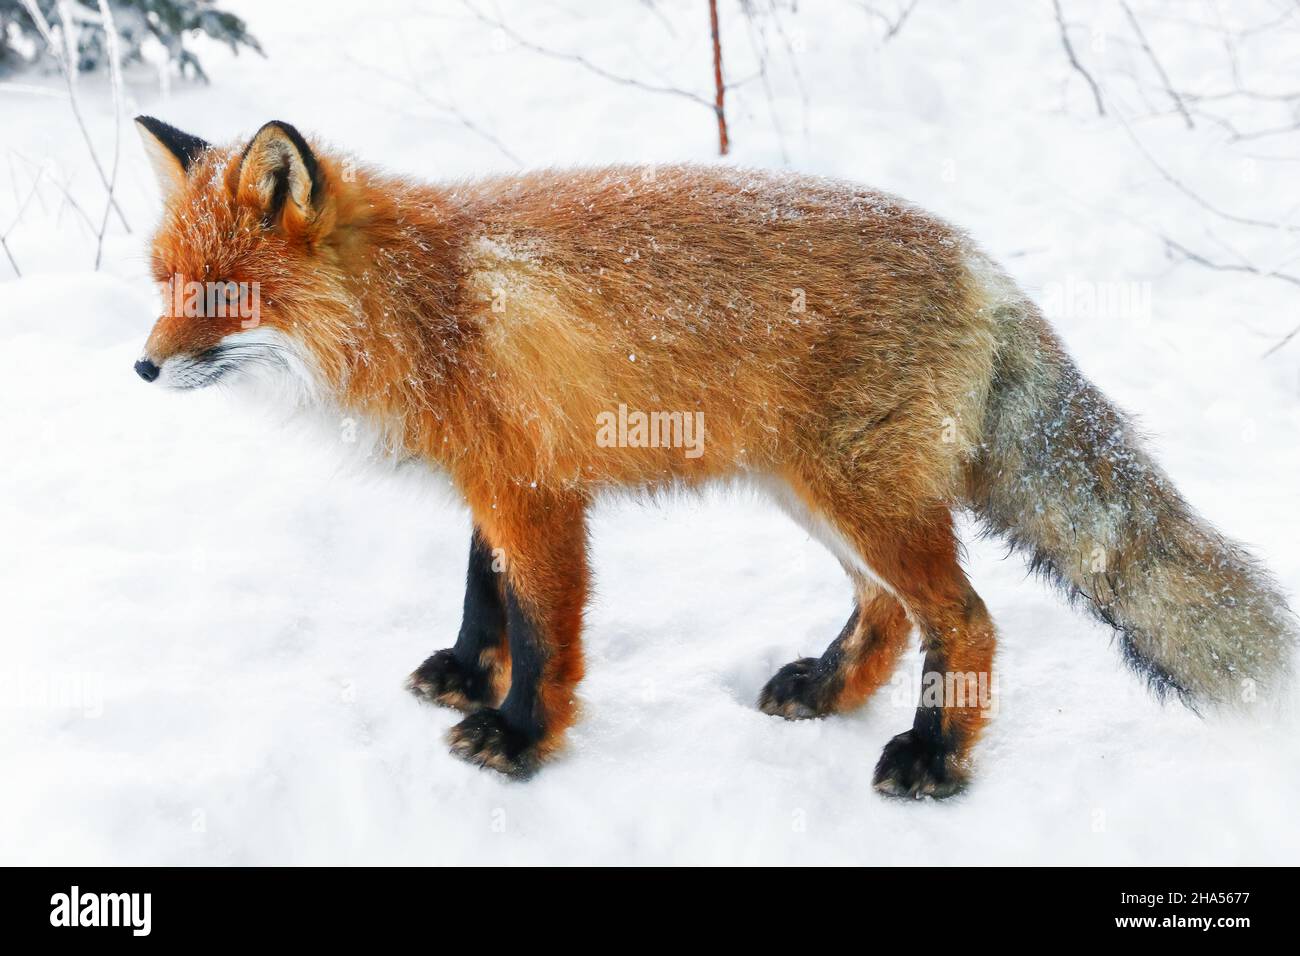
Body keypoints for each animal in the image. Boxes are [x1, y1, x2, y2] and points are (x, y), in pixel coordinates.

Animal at [132, 115, 1295, 798]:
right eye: (164, 282)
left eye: (221, 295)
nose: (140, 367)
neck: (428, 308)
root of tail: (981, 264)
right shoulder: (497, 479)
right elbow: (480, 591)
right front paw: (468, 674)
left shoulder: (537, 494)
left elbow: (545, 631)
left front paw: (518, 737)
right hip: (816, 494)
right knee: (886, 611)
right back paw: (826, 687)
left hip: (856, 496)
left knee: (965, 618)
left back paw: (933, 755)